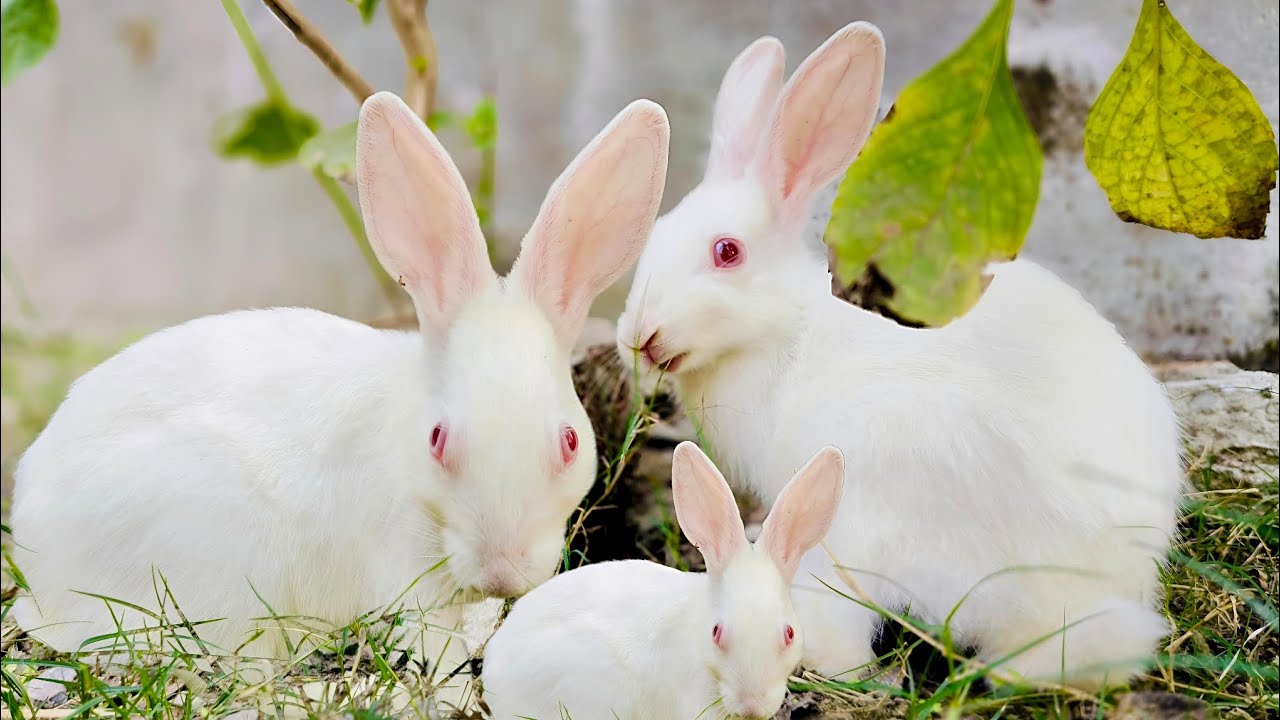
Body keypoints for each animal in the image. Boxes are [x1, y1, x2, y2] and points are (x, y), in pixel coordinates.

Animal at [11, 91, 671, 676]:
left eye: (570, 443)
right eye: (437, 440)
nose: (501, 570)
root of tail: (33, 556)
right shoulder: (401, 563)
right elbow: (430, 636)